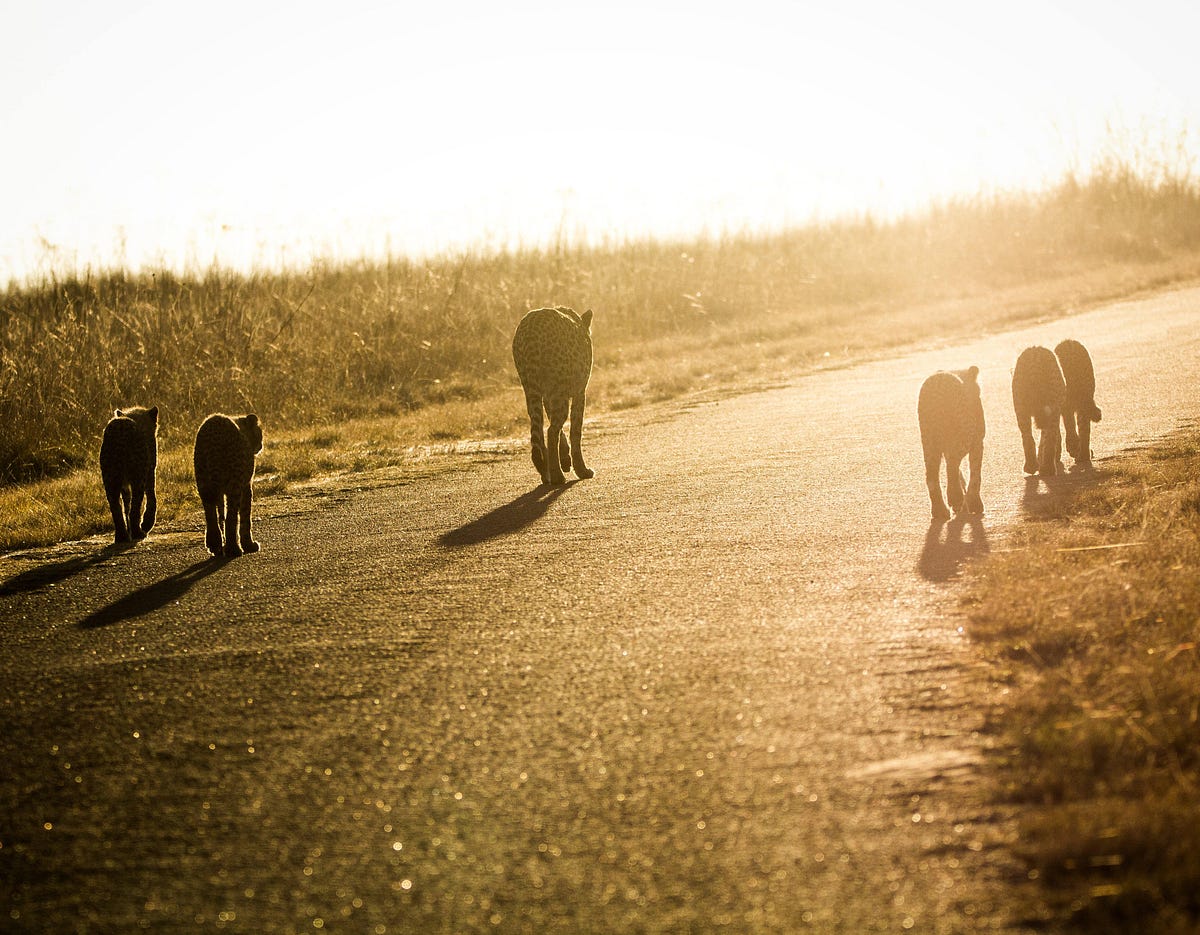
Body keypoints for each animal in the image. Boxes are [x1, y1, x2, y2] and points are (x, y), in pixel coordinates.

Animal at [99, 405, 159, 543]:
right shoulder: (150, 470)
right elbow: (151, 496)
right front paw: (147, 523)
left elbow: (126, 503)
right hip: (137, 475)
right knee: (136, 504)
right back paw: (138, 532)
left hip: (110, 477)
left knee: (115, 506)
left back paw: (122, 536)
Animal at [193, 413, 263, 557]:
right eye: (259, 432)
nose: (261, 445)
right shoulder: (246, 485)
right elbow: (245, 515)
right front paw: (249, 545)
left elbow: (221, 514)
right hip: (234, 485)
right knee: (231, 516)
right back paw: (233, 549)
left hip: (203, 483)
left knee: (210, 514)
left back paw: (215, 545)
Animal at [511, 306, 594, 485]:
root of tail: (530, 328)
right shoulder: (579, 392)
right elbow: (575, 431)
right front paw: (581, 469)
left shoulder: (549, 396)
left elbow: (561, 430)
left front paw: (565, 459)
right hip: (558, 393)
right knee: (551, 431)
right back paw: (556, 476)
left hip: (531, 391)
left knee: (541, 430)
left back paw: (546, 472)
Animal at [917, 366, 985, 521]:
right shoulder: (978, 441)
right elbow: (975, 472)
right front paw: (974, 503)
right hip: (964, 434)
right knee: (952, 464)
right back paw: (955, 498)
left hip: (929, 441)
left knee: (931, 474)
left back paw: (940, 510)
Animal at [1012, 345, 1066, 477]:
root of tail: (1035, 354)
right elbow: (1047, 437)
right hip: (1052, 408)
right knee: (1050, 437)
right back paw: (1048, 469)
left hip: (1021, 409)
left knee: (1027, 437)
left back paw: (1031, 467)